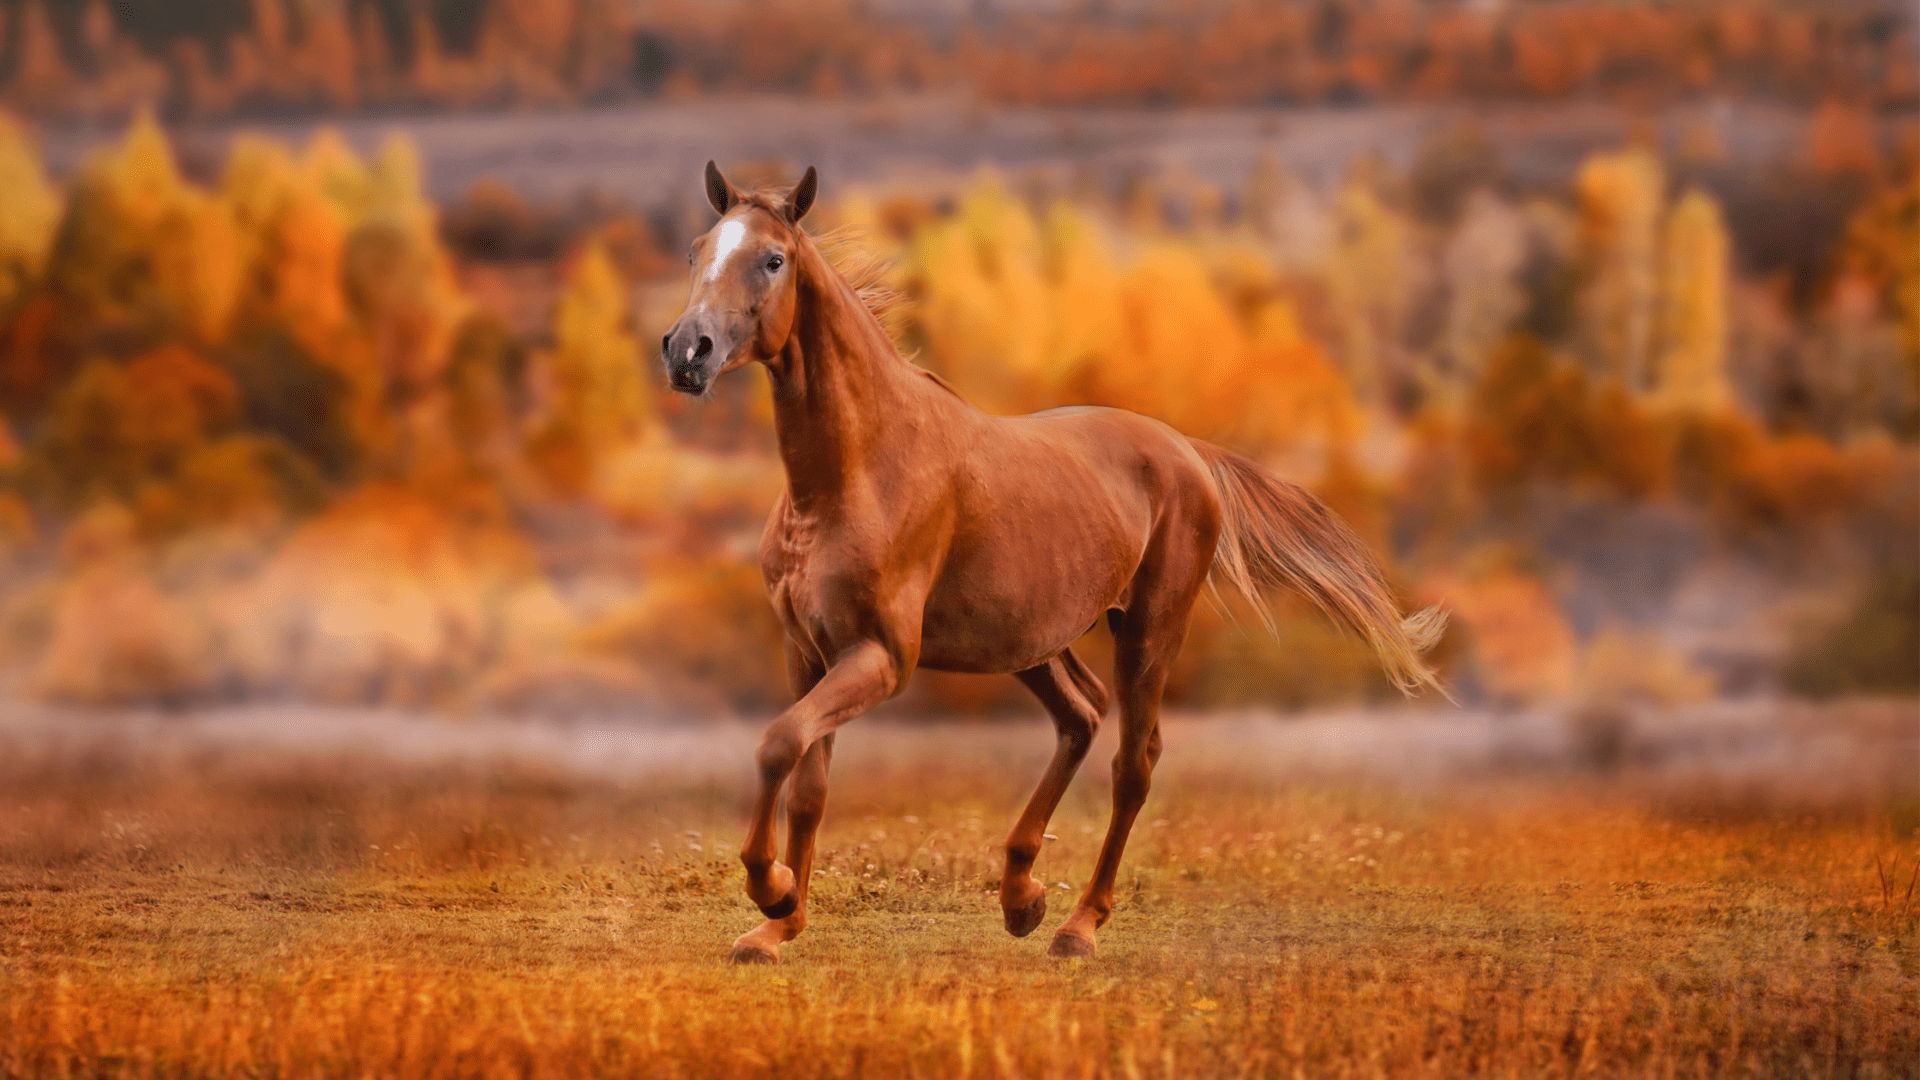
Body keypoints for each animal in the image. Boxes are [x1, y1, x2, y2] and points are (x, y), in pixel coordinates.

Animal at [660, 162, 1448, 964]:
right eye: (696, 251)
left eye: (772, 259)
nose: (686, 352)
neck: (852, 472)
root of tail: (1187, 450)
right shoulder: (809, 651)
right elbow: (806, 777)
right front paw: (777, 925)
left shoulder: (881, 657)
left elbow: (777, 744)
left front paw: (771, 890)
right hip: (1033, 642)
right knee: (1082, 716)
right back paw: (1022, 898)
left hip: (1149, 631)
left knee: (1133, 764)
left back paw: (1077, 926)